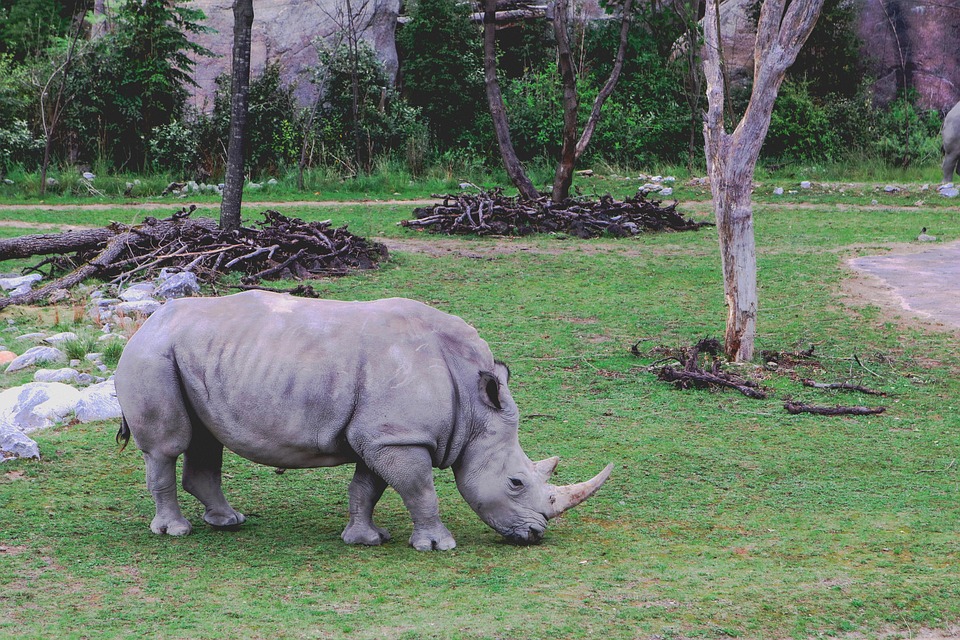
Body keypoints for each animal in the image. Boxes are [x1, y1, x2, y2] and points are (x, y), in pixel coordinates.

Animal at [114, 291, 612, 550]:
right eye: (515, 483)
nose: (535, 535)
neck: (474, 406)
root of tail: (144, 322)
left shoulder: (384, 435)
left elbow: (367, 487)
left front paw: (366, 539)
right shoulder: (400, 437)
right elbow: (421, 490)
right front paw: (438, 546)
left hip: (193, 355)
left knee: (205, 440)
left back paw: (229, 521)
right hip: (152, 356)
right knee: (168, 446)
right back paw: (176, 532)